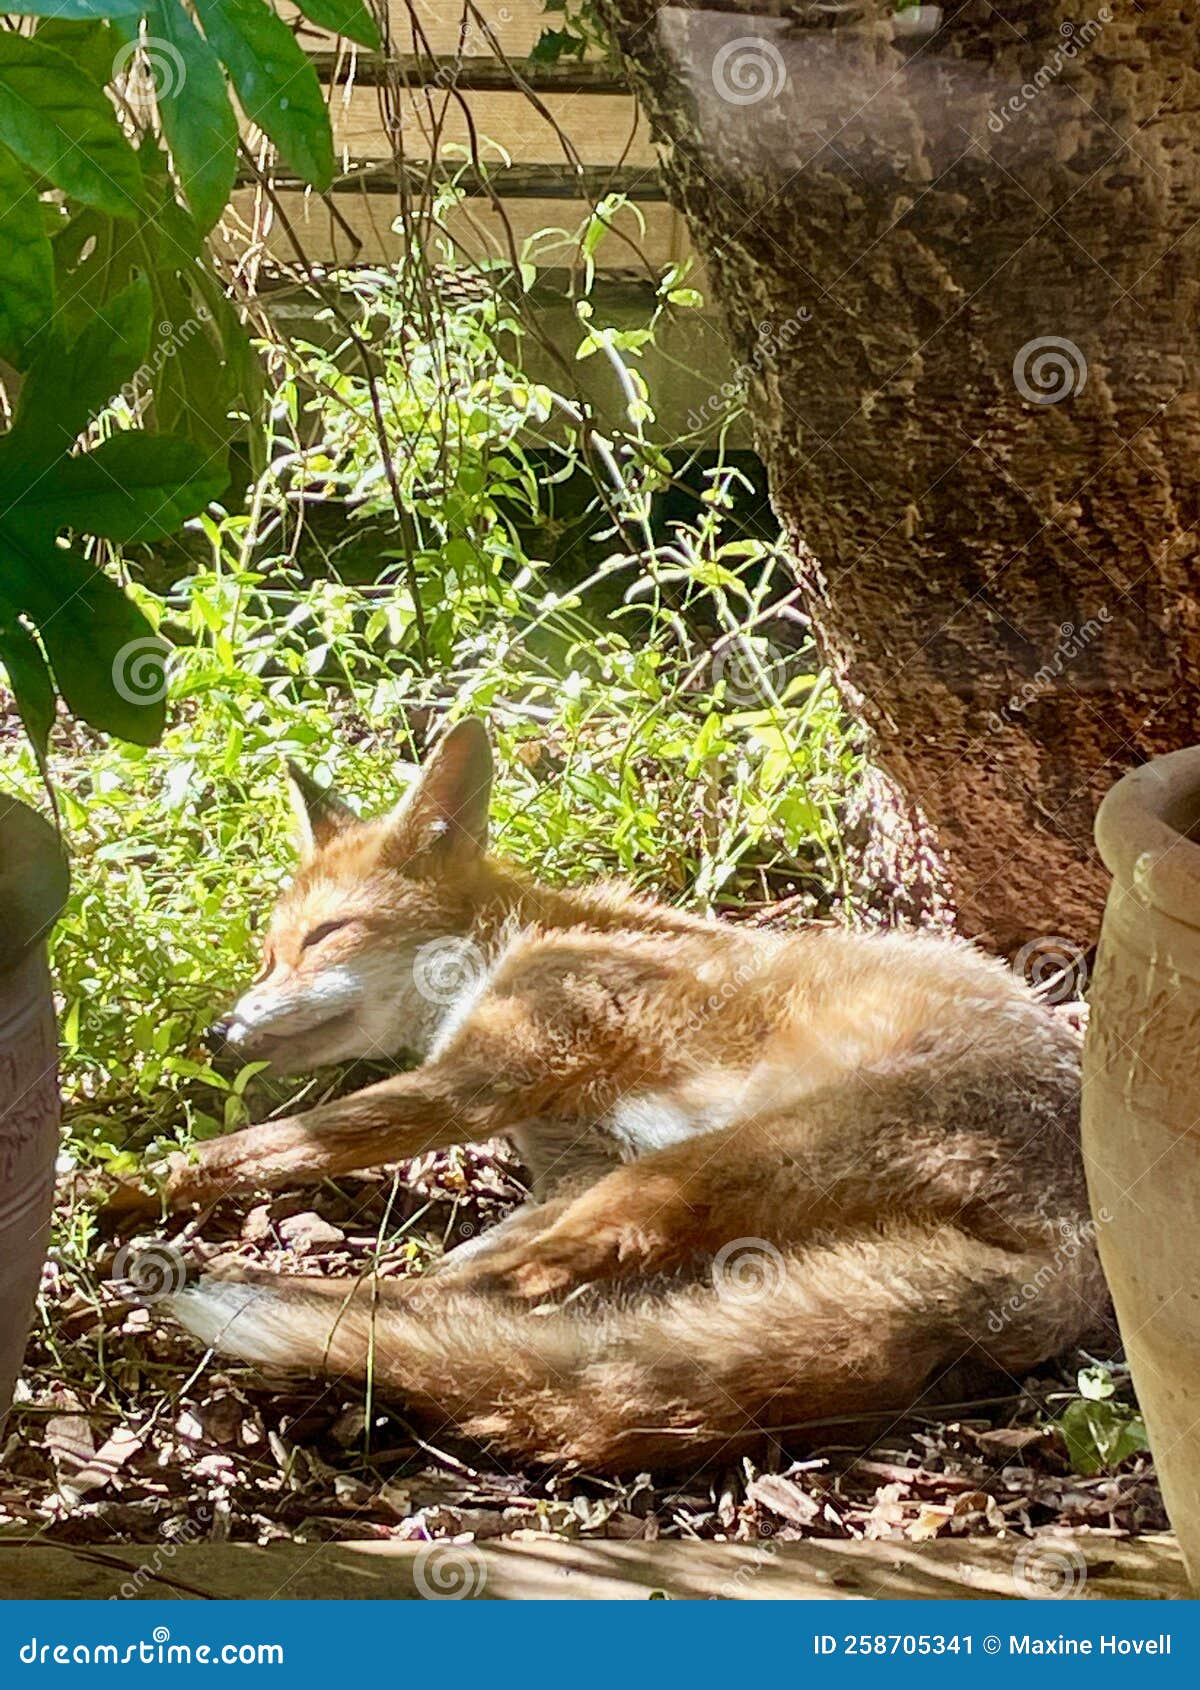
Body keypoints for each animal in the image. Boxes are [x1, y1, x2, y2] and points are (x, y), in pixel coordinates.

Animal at [120, 717, 1111, 1472]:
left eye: (326, 936)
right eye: (267, 952)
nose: (218, 1033)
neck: (515, 943)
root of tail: (1080, 1247)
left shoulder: (479, 1082)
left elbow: (235, 1154)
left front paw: (108, 1187)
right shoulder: (571, 1167)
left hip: (699, 1166)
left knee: (498, 1291)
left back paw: (234, 1290)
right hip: (659, 1189)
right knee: (484, 1293)